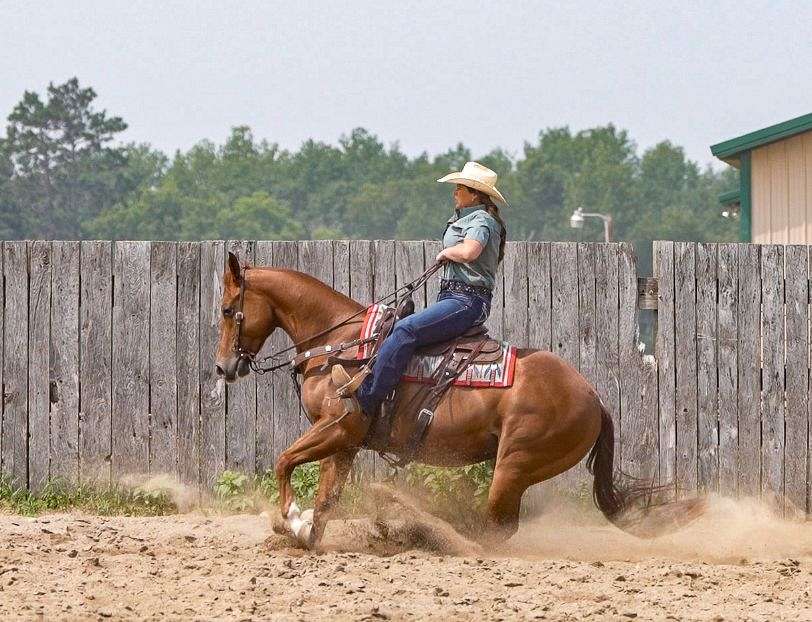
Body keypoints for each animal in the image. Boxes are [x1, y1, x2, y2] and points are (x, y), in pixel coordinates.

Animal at [215, 252, 700, 548]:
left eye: (224, 309)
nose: (222, 368)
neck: (345, 344)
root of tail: (594, 398)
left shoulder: (336, 427)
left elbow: (283, 461)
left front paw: (290, 517)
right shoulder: (346, 442)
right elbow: (327, 498)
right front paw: (304, 532)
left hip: (514, 465)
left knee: (496, 527)